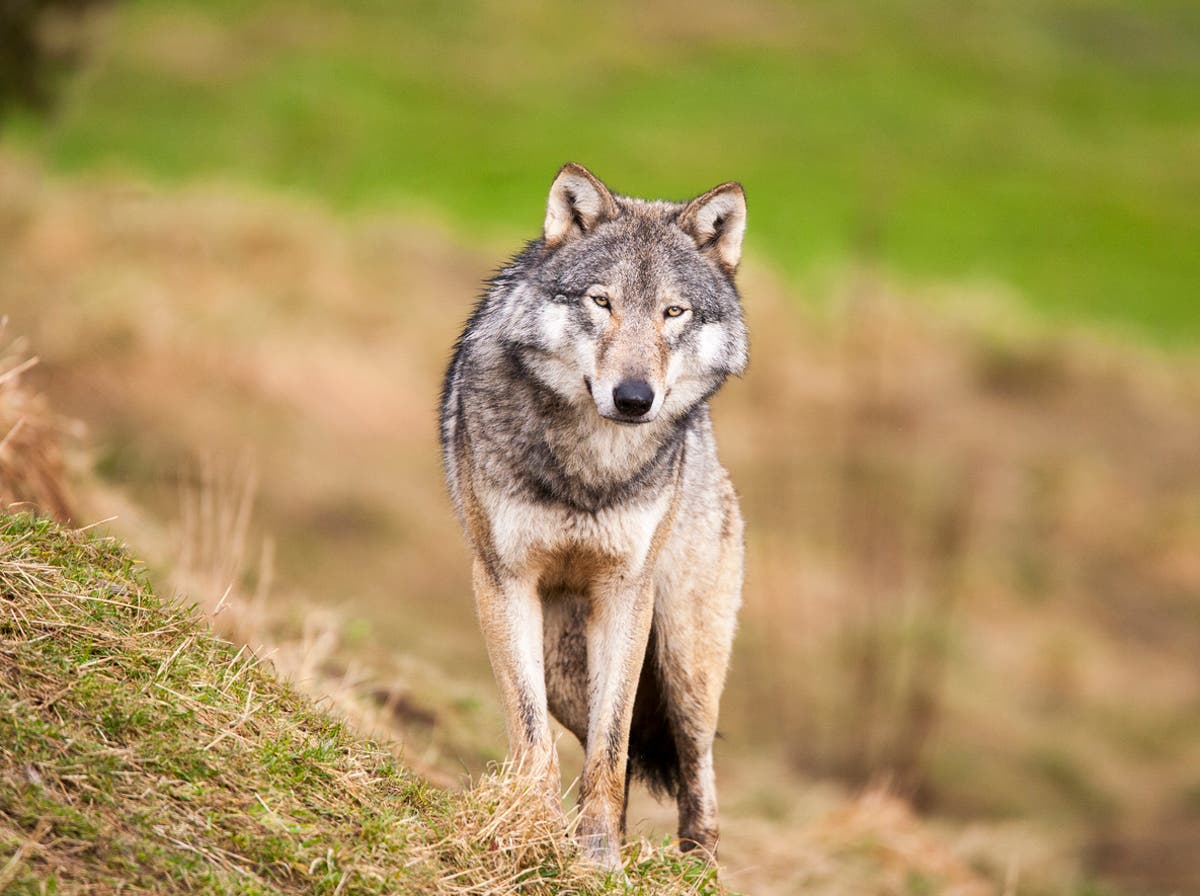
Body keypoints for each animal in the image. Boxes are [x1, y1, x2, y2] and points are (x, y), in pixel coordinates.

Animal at [439, 162, 748, 869]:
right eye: (601, 302)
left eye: (672, 312)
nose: (634, 399)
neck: (591, 469)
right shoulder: (503, 583)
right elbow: (535, 738)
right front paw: (536, 834)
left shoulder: (625, 592)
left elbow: (610, 749)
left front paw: (599, 856)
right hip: (565, 670)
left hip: (686, 664)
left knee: (696, 775)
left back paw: (697, 869)